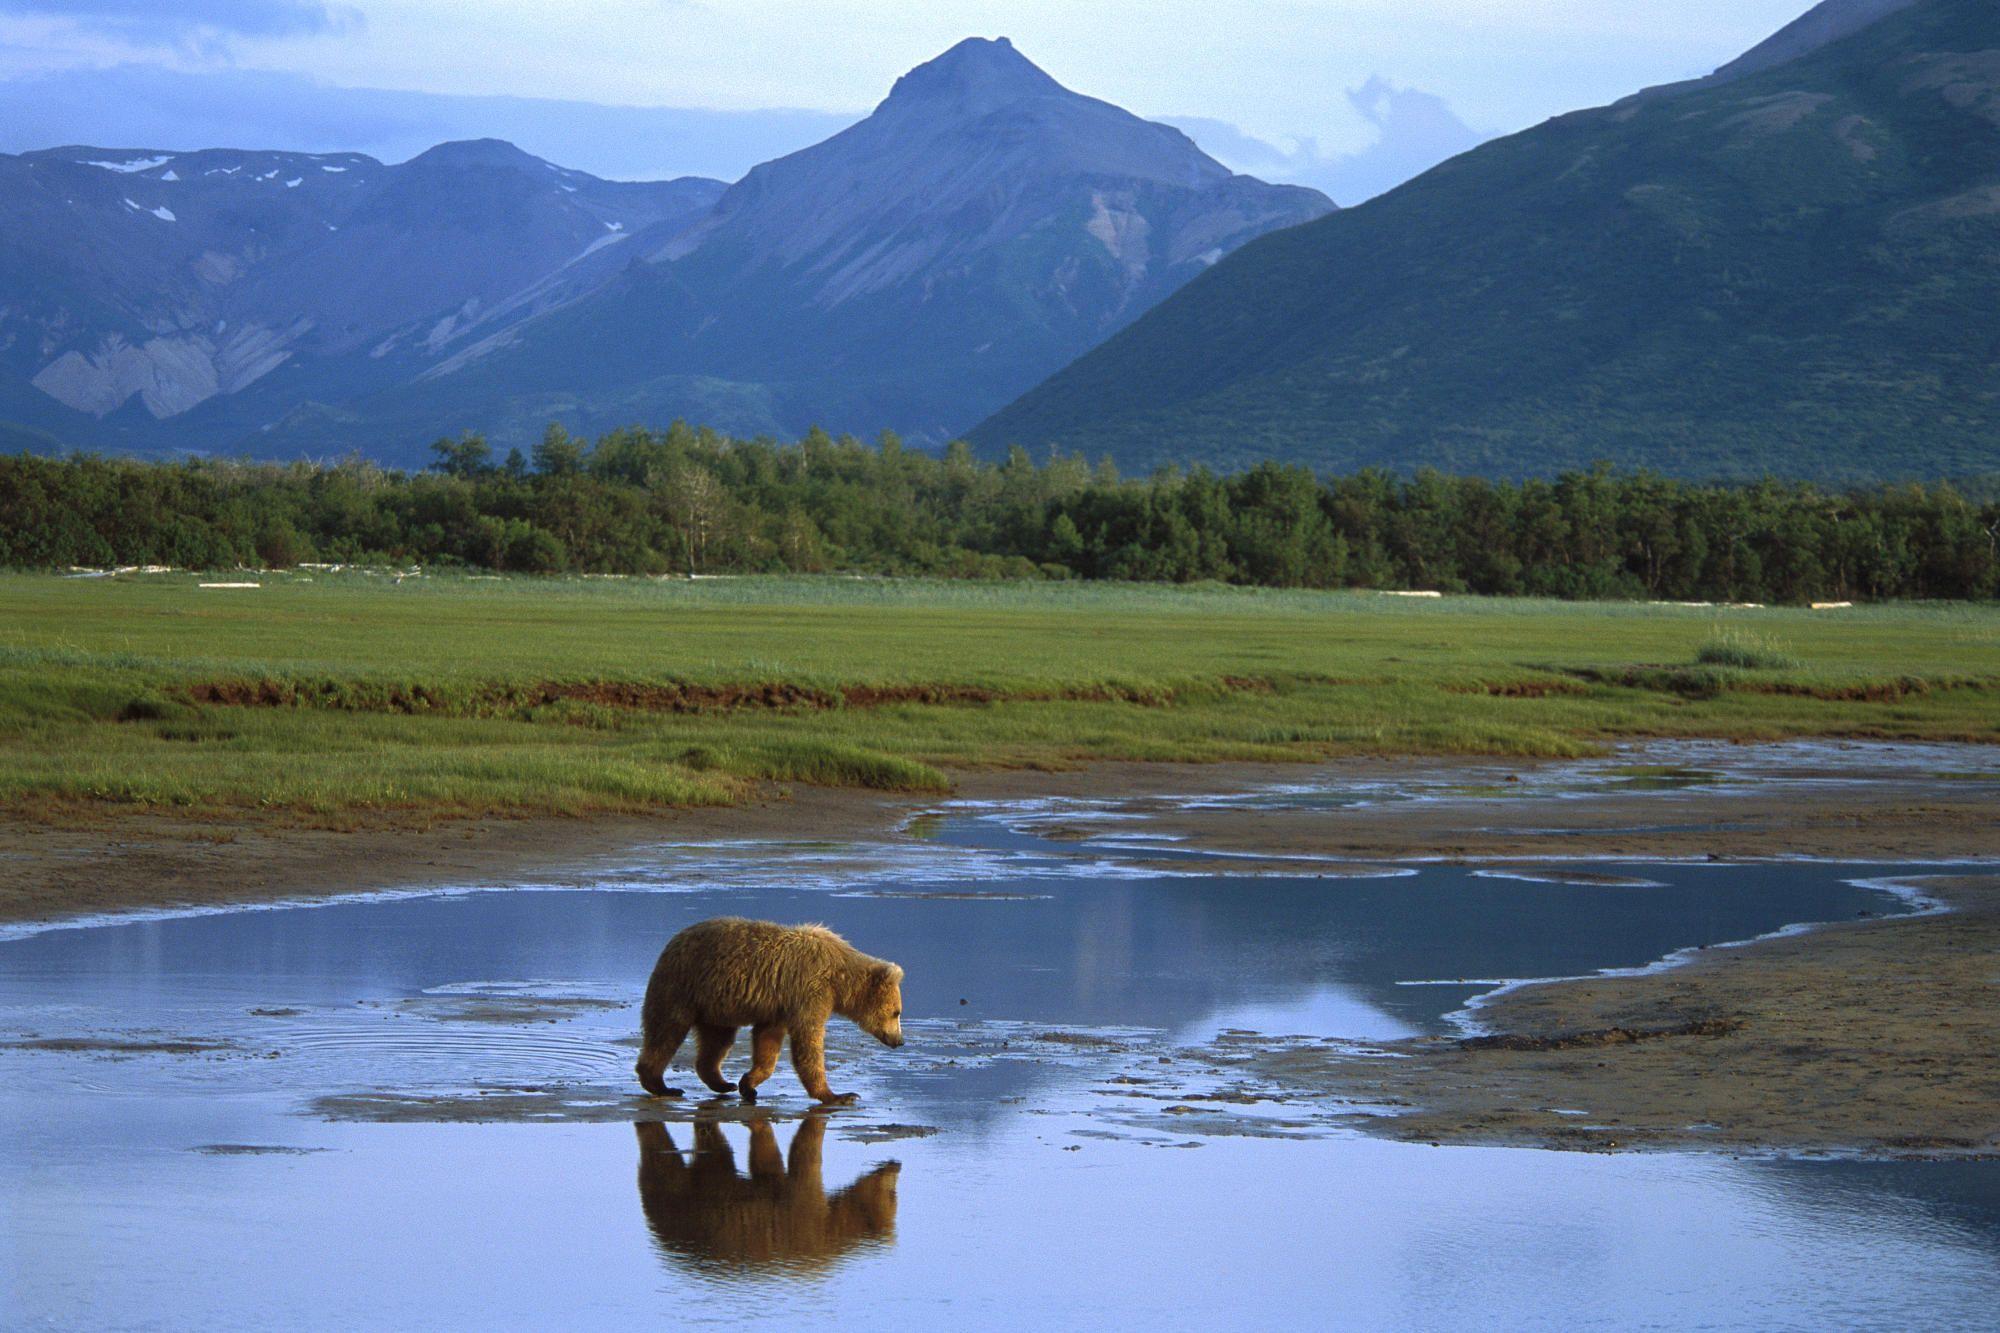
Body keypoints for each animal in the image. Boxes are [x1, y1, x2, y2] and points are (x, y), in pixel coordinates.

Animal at [634, 917, 905, 1105]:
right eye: (897, 1012)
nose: (899, 1041)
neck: (840, 980)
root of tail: (673, 941)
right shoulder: (810, 992)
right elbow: (808, 1042)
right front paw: (839, 1095)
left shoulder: (780, 1005)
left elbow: (768, 1042)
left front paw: (748, 1084)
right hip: (681, 986)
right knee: (666, 1031)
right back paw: (662, 1085)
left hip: (715, 1004)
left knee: (717, 1041)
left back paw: (723, 1083)